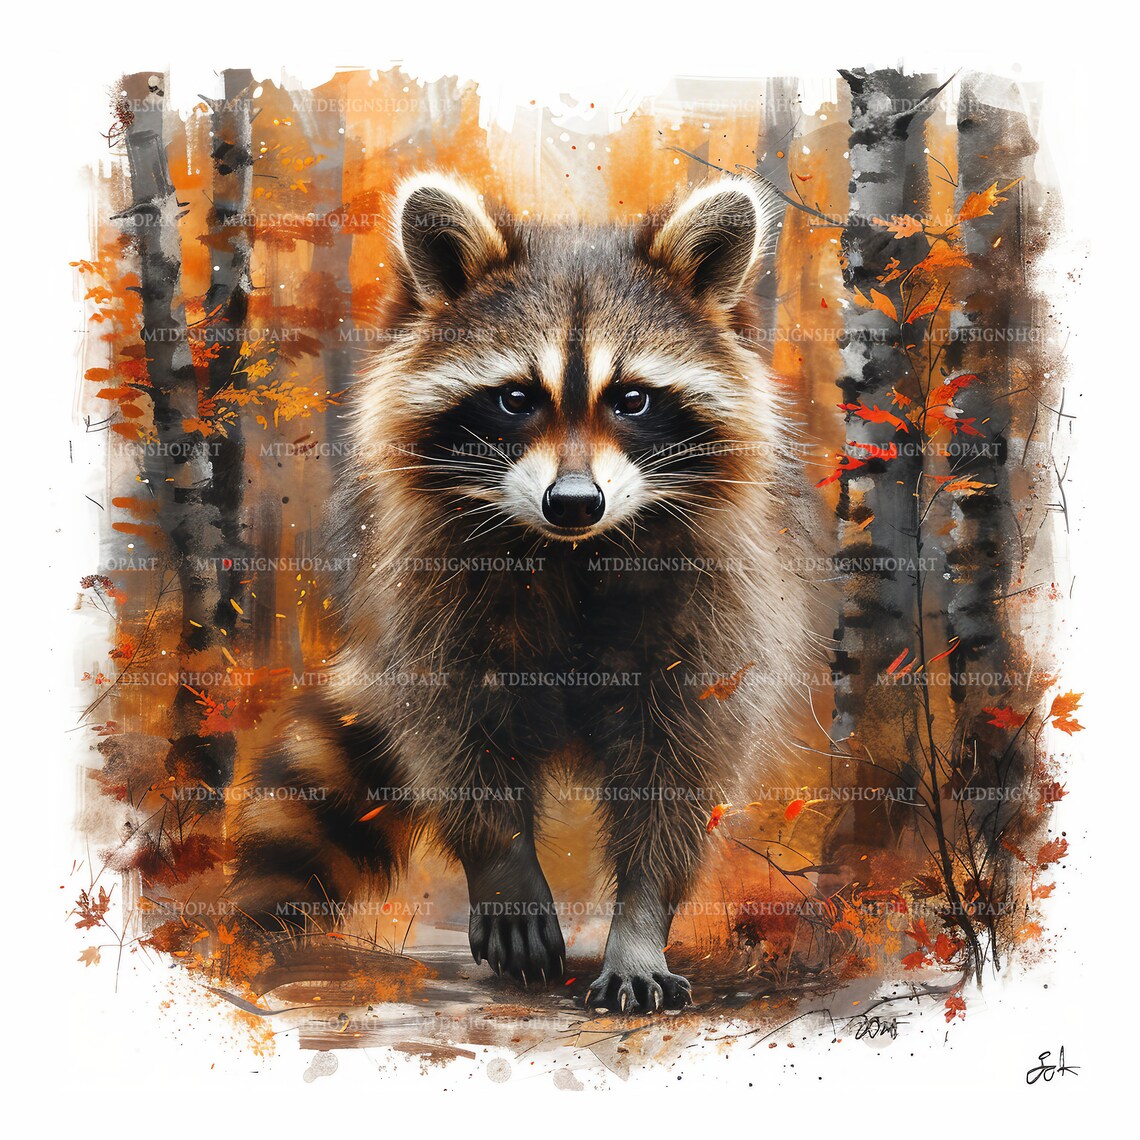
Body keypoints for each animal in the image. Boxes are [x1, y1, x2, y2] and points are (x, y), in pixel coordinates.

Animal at [229, 172, 821, 1012]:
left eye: (632, 399)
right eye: (515, 398)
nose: (573, 502)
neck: (574, 554)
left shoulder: (713, 599)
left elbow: (678, 770)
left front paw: (640, 922)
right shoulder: (434, 589)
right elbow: (457, 737)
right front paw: (505, 867)